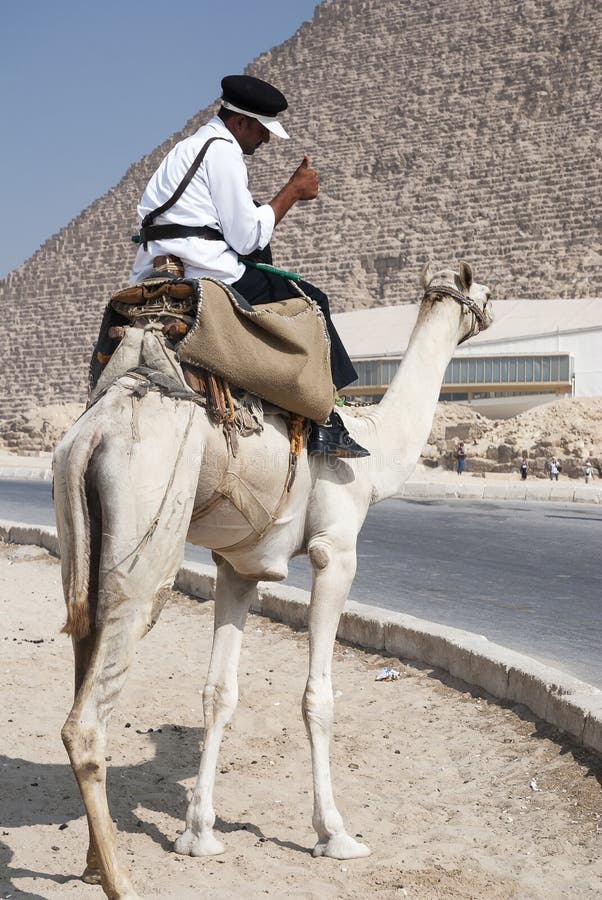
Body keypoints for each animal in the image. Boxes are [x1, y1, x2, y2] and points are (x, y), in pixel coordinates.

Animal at [53, 260, 492, 899]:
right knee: (87, 719)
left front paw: (199, 835)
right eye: (480, 290)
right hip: (146, 538)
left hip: (81, 541)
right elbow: (318, 697)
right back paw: (121, 880)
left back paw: (91, 860)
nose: (490, 312)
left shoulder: (238, 567)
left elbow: (218, 692)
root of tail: (93, 435)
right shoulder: (336, 550)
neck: (376, 452)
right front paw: (335, 835)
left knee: (84, 656)